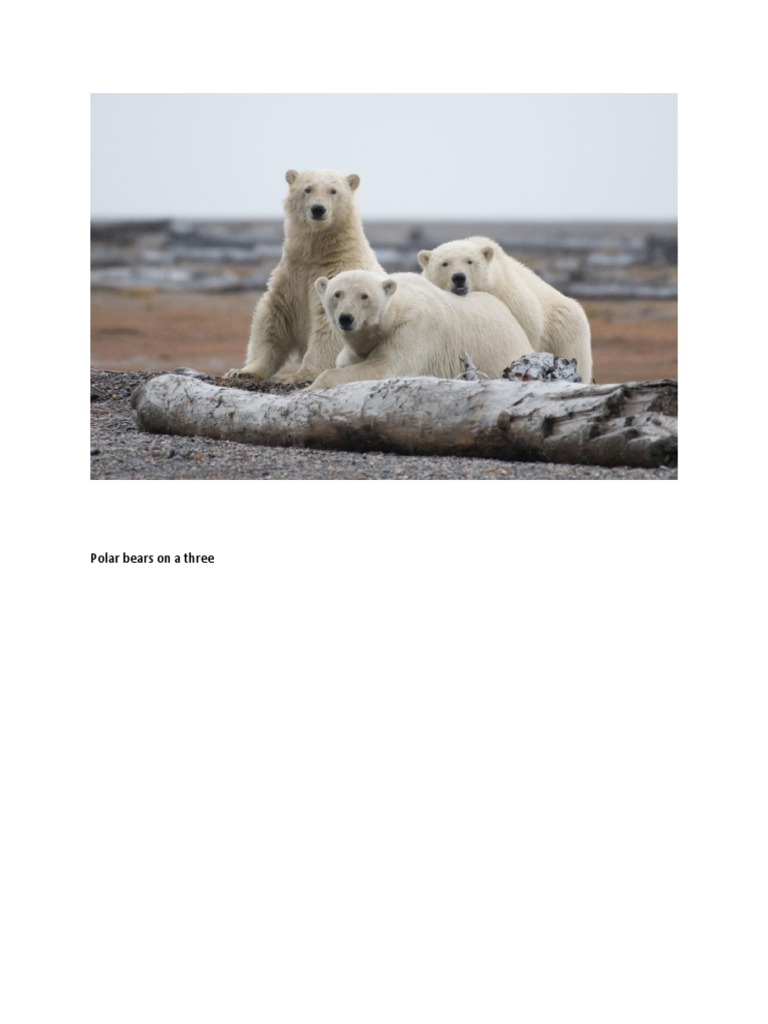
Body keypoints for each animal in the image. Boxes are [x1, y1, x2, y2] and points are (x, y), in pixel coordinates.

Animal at [225, 169, 384, 384]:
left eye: (333, 190)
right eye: (307, 189)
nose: (318, 209)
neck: (319, 254)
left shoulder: (338, 276)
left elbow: (328, 323)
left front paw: (294, 376)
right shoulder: (291, 275)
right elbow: (273, 318)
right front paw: (242, 371)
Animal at [307, 270, 533, 390]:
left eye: (364, 296)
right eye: (337, 294)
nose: (346, 318)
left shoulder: (412, 332)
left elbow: (385, 368)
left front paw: (310, 387)